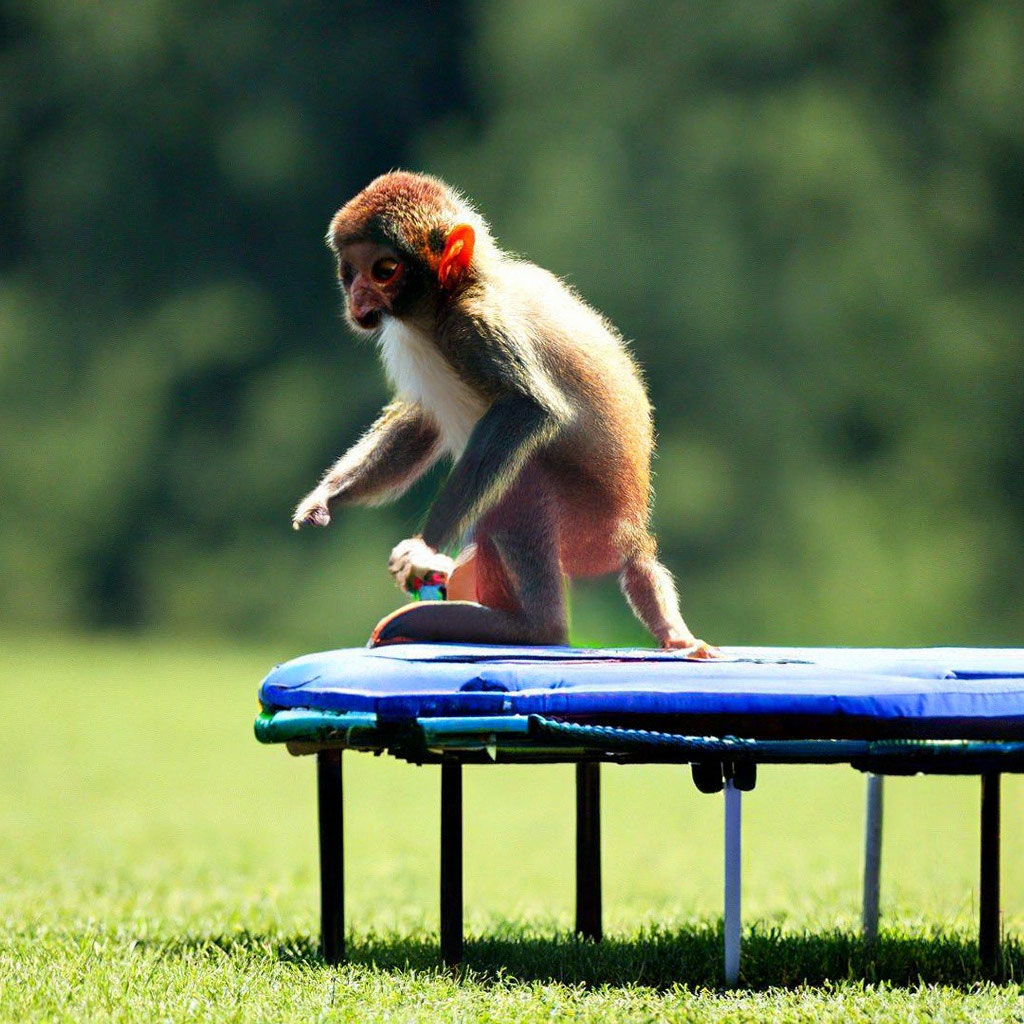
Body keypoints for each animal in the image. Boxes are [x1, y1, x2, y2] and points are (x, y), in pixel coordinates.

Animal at [293, 171, 716, 656]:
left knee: (524, 482)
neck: (458, 289)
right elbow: (423, 425)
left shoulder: (472, 324)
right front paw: (325, 497)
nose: (358, 294)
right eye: (350, 271)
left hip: (585, 528)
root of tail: (631, 535)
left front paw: (423, 547)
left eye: (383, 270)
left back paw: (532, 629)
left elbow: (527, 408)